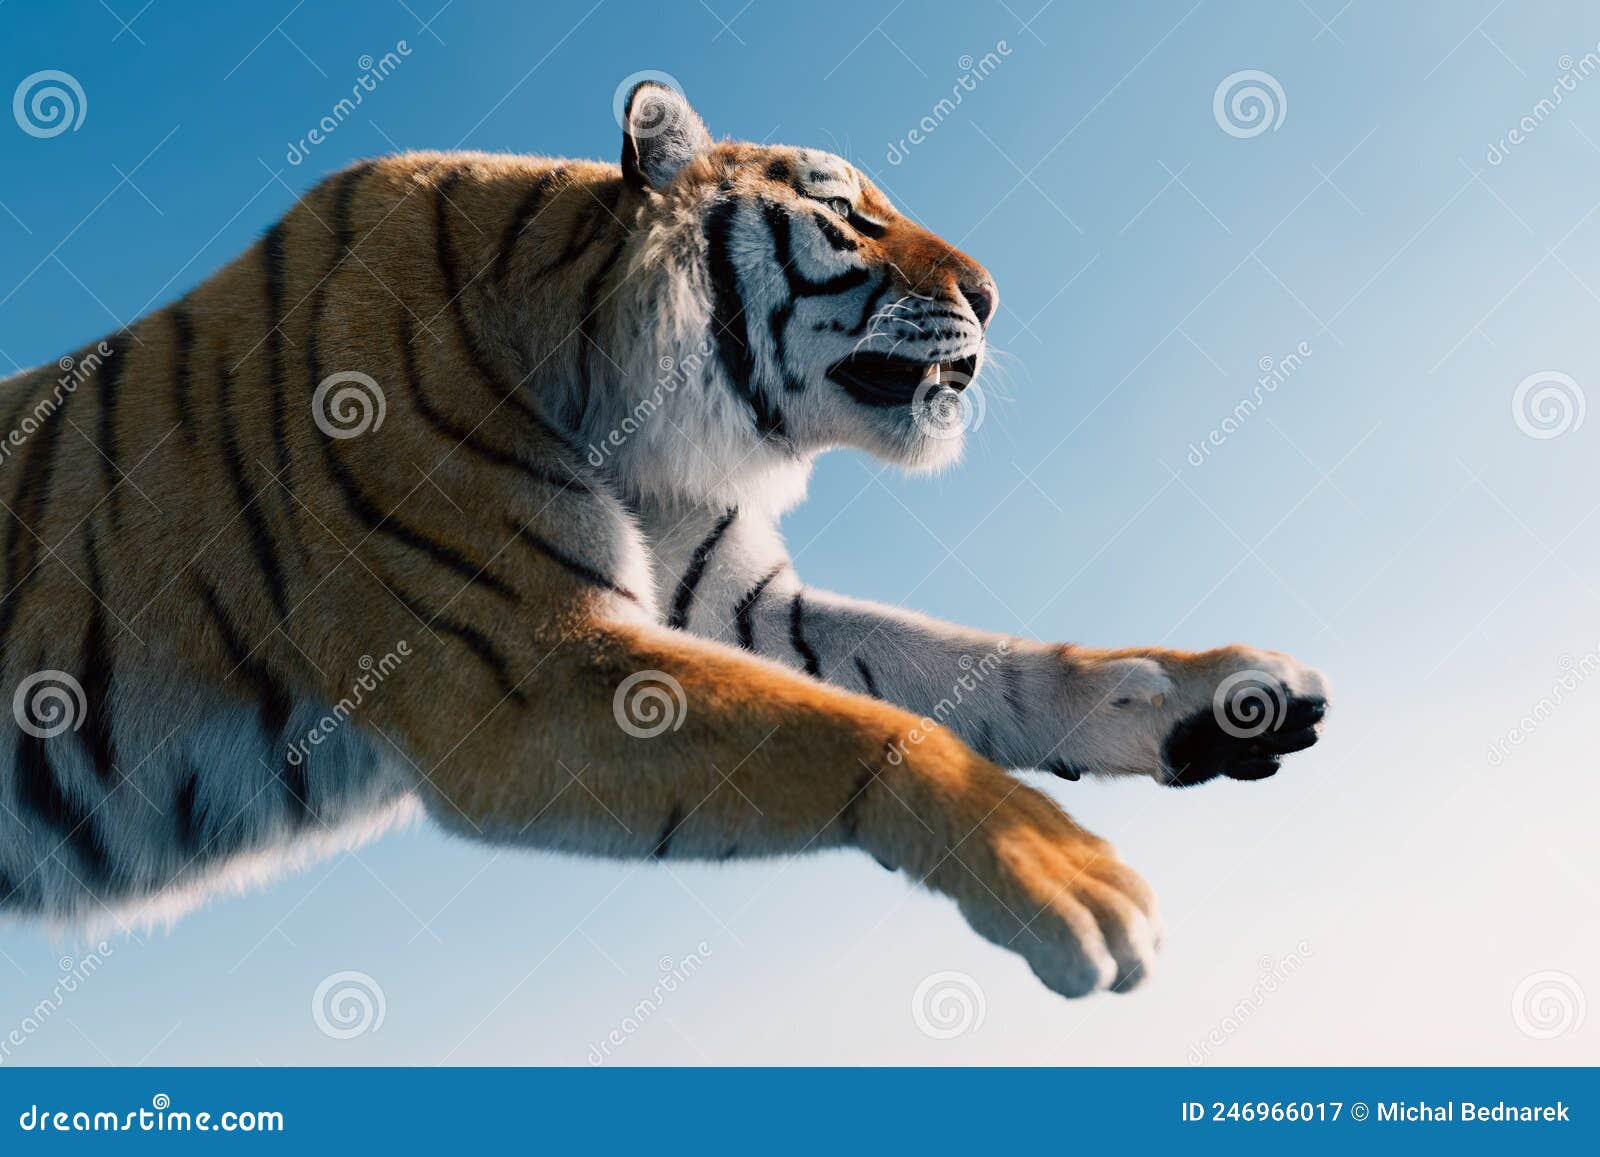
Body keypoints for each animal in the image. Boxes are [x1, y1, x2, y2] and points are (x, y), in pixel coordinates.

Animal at [0, 82, 1328, 998]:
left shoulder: (736, 604)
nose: (994, 297)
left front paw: (1199, 693)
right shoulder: (523, 674)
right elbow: (860, 726)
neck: (635, 416)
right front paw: (1060, 869)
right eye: (845, 212)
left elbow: (962, 666)